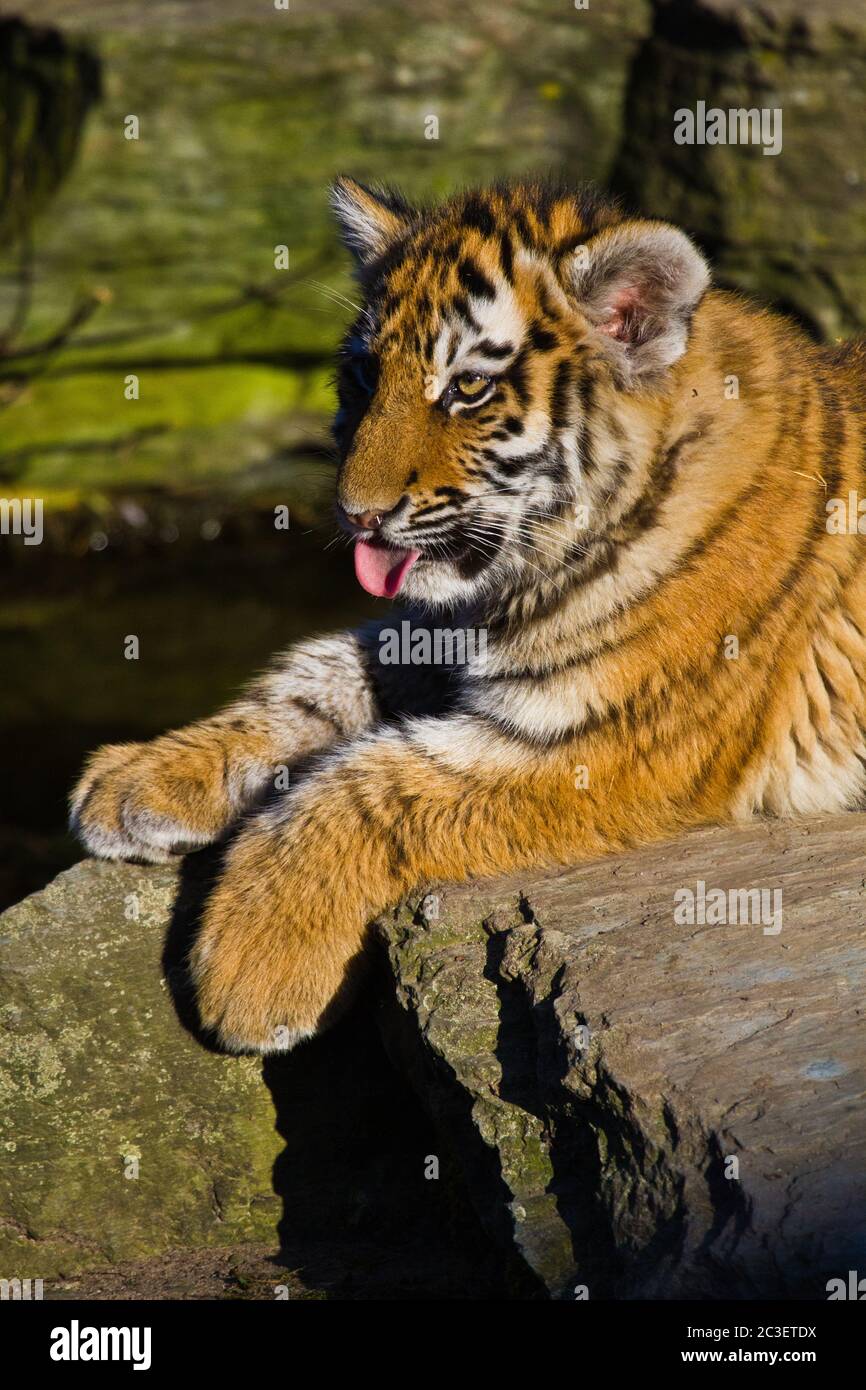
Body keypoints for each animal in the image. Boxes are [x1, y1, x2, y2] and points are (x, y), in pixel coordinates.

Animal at [70, 177, 866, 1052]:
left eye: (468, 389)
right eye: (363, 375)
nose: (356, 516)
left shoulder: (600, 740)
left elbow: (369, 787)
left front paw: (254, 960)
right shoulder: (440, 633)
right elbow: (312, 678)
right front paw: (138, 778)